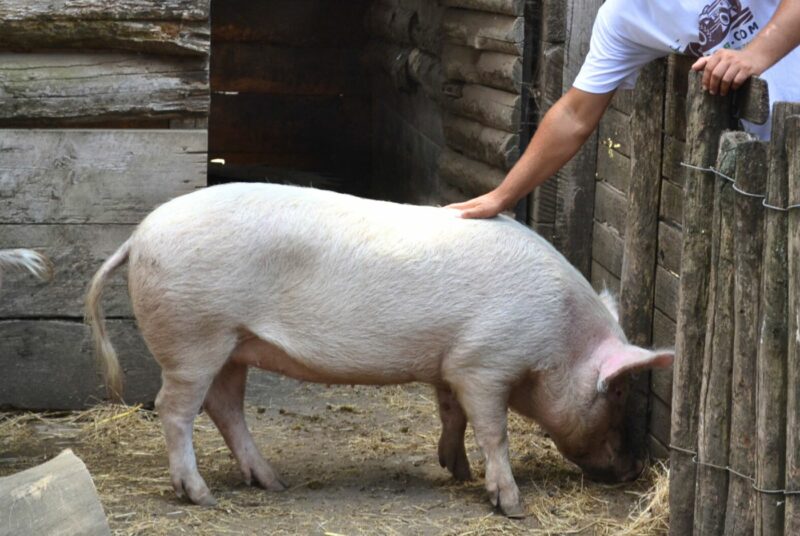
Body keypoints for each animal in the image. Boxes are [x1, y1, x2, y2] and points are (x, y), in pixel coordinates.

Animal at [85, 183, 673, 517]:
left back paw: (273, 483)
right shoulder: (485, 362)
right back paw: (201, 495)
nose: (631, 470)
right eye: (619, 394)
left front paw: (456, 470)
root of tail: (139, 235)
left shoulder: (451, 364)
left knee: (225, 407)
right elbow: (494, 430)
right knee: (174, 408)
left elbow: (452, 413)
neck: (559, 334)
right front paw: (510, 505)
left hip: (233, 344)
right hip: (195, 336)